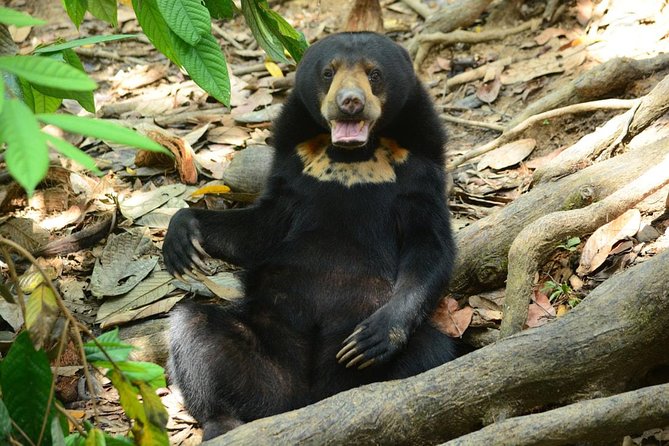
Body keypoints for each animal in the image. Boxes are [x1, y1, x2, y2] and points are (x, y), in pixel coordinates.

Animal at [163, 31, 461, 440]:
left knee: (431, 352)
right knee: (193, 331)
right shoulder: (295, 167)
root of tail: (308, 394)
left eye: (374, 74)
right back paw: (221, 424)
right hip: (267, 346)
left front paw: (374, 336)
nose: (349, 102)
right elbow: (260, 229)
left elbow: (430, 249)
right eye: (327, 73)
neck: (353, 158)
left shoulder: (420, 173)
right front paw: (182, 239)